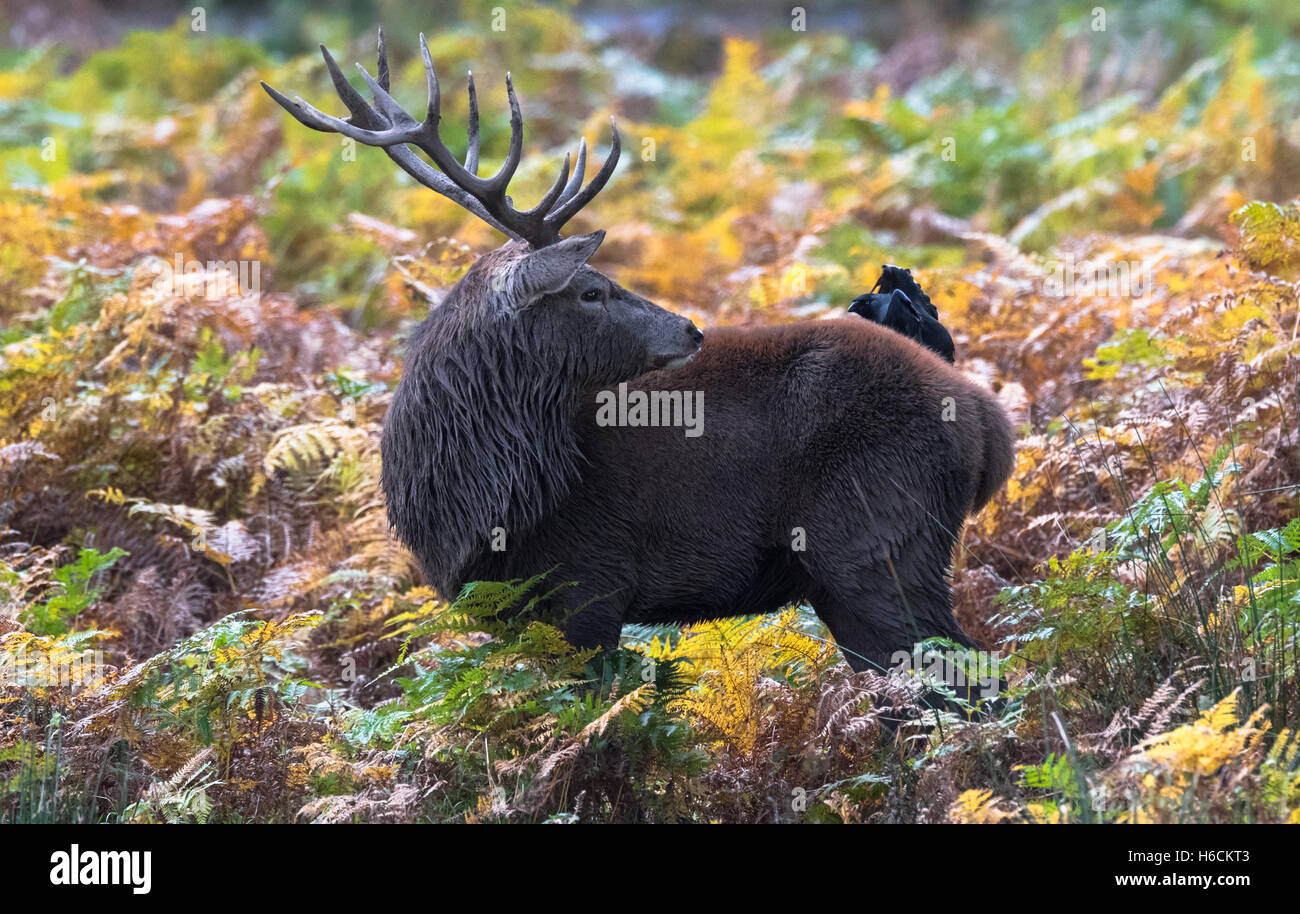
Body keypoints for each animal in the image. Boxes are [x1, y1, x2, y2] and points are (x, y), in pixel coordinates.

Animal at [262, 31, 1016, 704]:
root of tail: (990, 423)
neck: (474, 499)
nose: (692, 327)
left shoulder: (590, 585)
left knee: (974, 681)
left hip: (875, 542)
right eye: (592, 291)